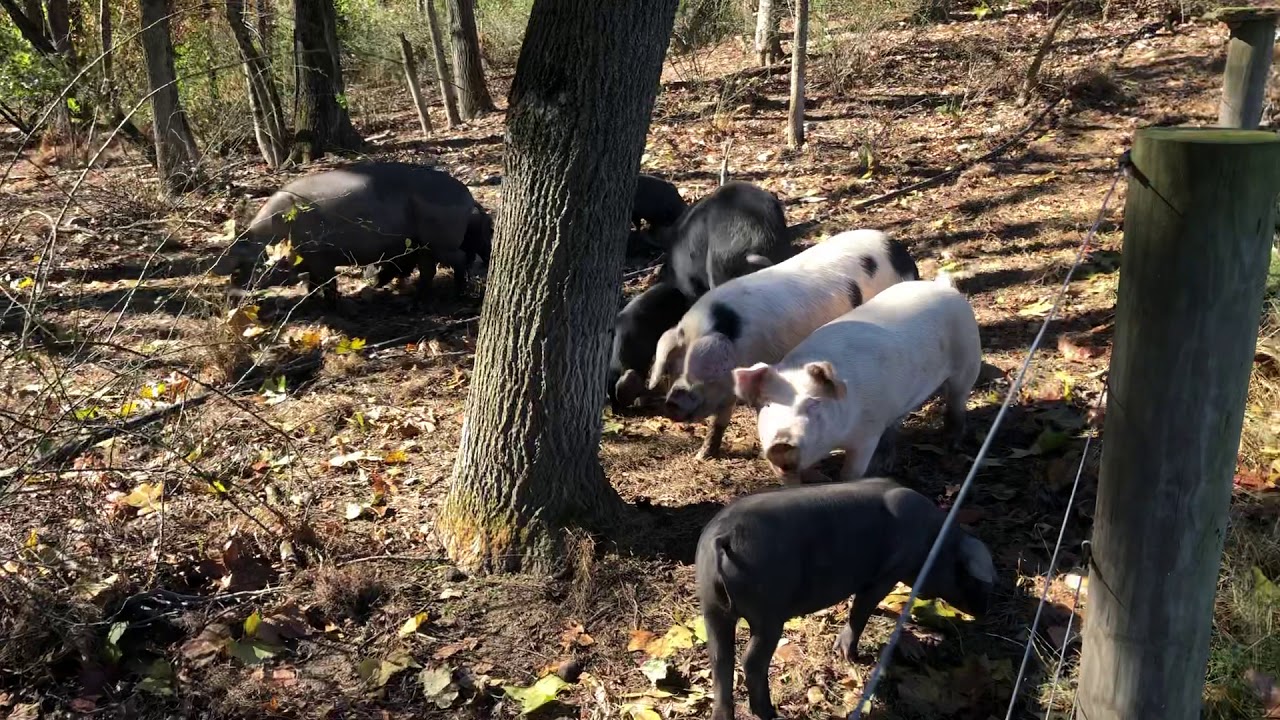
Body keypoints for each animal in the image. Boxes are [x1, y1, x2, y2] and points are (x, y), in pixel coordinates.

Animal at [210, 162, 491, 305]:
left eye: (239, 268)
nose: (230, 298)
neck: (277, 235)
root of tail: (468, 197)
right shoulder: (311, 262)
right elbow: (312, 283)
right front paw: (312, 300)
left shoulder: (321, 257)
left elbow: (327, 283)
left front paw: (333, 304)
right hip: (424, 244)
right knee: (429, 270)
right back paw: (416, 299)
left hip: (440, 241)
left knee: (459, 261)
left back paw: (456, 293)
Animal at [647, 229, 920, 459]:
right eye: (672, 367)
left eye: (703, 372)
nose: (672, 403)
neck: (738, 340)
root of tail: (899, 251)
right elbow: (719, 419)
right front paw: (703, 456)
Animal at [696, 477, 996, 720]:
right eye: (969, 577)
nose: (985, 612)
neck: (934, 544)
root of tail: (723, 537)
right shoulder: (886, 573)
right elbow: (861, 610)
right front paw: (849, 657)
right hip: (767, 609)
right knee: (750, 661)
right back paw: (771, 713)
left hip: (711, 606)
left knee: (720, 660)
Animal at [733, 274, 982, 483]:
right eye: (767, 405)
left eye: (813, 404)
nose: (781, 444)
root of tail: (942, 285)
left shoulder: (866, 435)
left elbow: (852, 472)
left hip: (969, 359)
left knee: (957, 402)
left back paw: (951, 444)